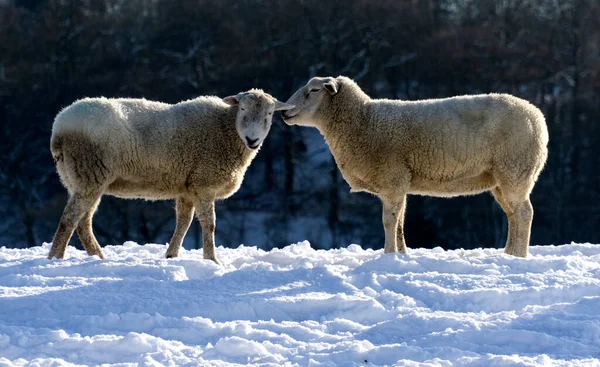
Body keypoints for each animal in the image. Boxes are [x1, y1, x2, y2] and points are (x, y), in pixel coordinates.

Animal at [46, 89, 292, 264]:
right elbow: (209, 224)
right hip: (90, 172)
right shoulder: (204, 184)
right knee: (69, 220)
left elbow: (183, 222)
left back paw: (98, 257)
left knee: (83, 222)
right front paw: (212, 260)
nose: (253, 140)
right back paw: (55, 259)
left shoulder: (188, 187)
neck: (225, 129)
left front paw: (171, 256)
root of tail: (59, 128)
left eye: (270, 113)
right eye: (242, 108)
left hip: (80, 178)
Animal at [282, 76, 548, 258]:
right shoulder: (400, 182)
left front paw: (389, 254)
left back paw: (519, 256)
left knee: (524, 213)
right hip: (502, 177)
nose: (285, 112)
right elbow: (400, 221)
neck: (362, 122)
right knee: (513, 215)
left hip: (515, 170)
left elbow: (388, 221)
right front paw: (401, 253)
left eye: (314, 90)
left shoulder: (392, 178)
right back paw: (509, 254)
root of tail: (537, 117)